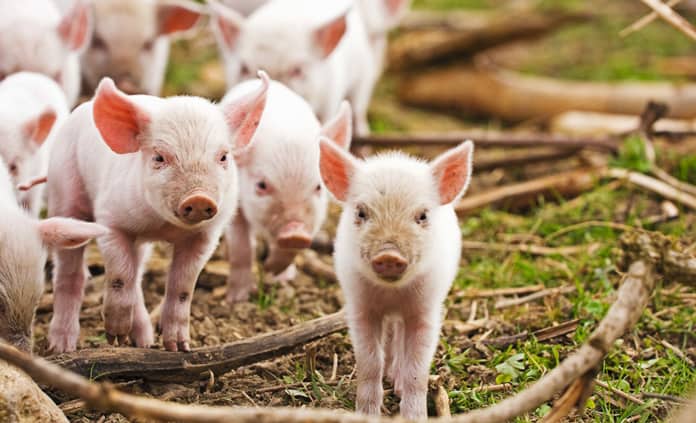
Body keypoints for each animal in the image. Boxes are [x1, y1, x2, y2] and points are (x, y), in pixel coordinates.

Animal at [46, 73, 269, 353]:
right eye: (160, 157)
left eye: (223, 157)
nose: (198, 198)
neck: (162, 227)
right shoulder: (110, 220)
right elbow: (120, 277)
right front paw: (115, 338)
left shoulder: (206, 237)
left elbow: (182, 287)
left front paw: (179, 347)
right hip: (63, 191)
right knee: (71, 273)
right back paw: (61, 347)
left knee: (137, 276)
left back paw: (144, 342)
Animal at [221, 79, 352, 303]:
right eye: (261, 185)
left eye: (318, 187)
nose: (295, 231)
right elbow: (241, 247)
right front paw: (237, 300)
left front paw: (273, 272)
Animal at [318, 138, 474, 418]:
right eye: (361, 213)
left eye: (422, 215)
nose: (389, 254)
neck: (392, 293)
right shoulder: (361, 307)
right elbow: (370, 363)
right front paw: (368, 414)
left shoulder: (426, 309)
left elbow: (417, 370)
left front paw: (414, 416)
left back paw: (397, 383)